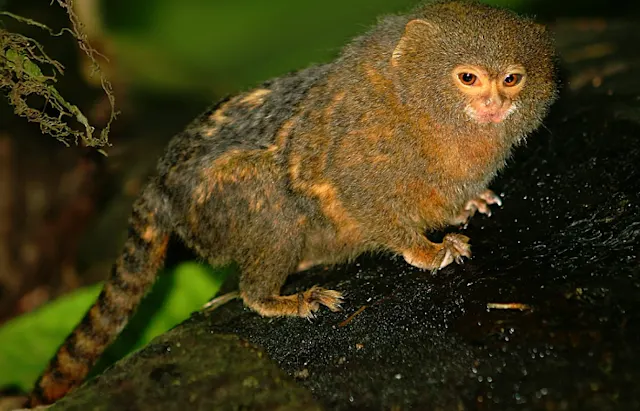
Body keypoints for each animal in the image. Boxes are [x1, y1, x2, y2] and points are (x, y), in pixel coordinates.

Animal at [26, 0, 557, 406]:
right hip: (221, 204)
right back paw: (274, 296)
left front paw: (465, 204)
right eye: (468, 78)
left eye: (511, 79)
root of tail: (160, 186)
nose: (493, 104)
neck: (417, 107)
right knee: (273, 210)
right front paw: (426, 249)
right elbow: (362, 196)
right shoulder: (364, 147)